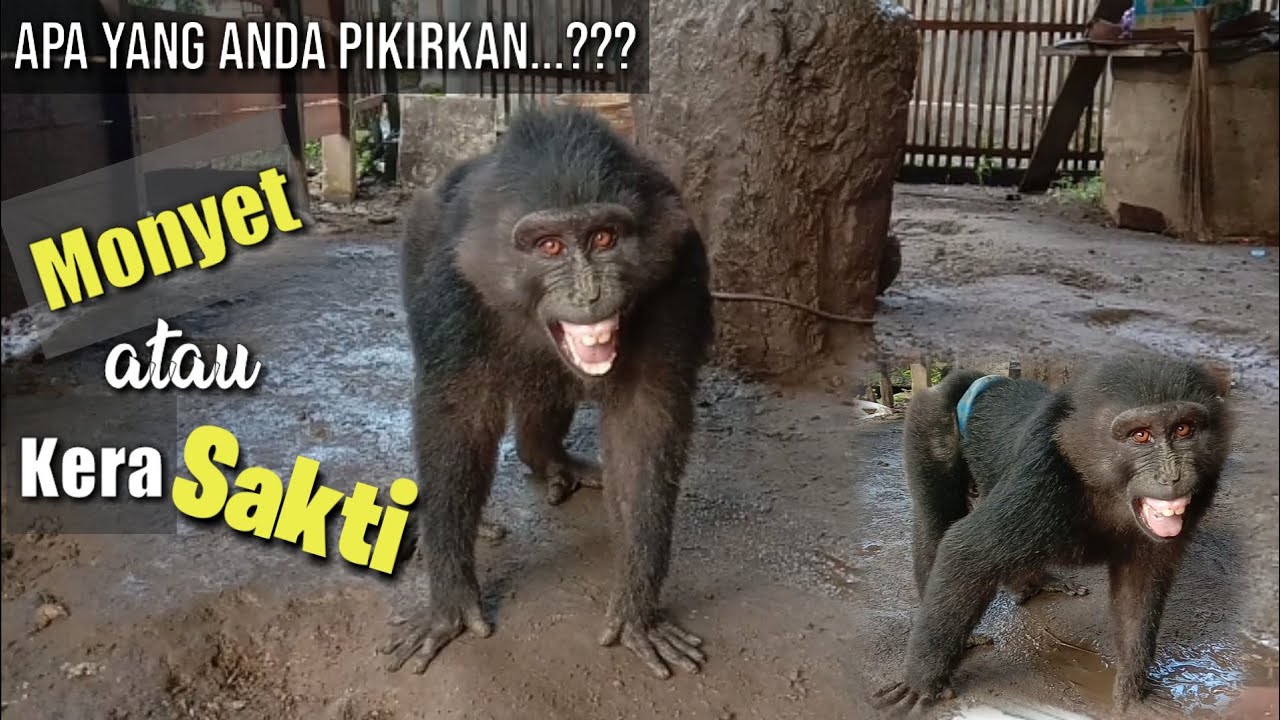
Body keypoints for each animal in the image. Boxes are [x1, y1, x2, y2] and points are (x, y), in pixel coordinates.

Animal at [379, 106, 713, 680]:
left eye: (603, 238)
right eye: (550, 246)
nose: (588, 291)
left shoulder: (680, 269)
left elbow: (644, 422)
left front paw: (637, 609)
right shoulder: (450, 283)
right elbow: (457, 416)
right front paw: (448, 601)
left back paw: (550, 459)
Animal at [873, 354, 1232, 715]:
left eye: (1183, 429)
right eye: (1140, 435)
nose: (1171, 475)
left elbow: (1140, 587)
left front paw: (1133, 694)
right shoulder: (1042, 481)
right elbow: (966, 551)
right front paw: (922, 682)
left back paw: (1032, 581)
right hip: (929, 417)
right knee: (935, 517)